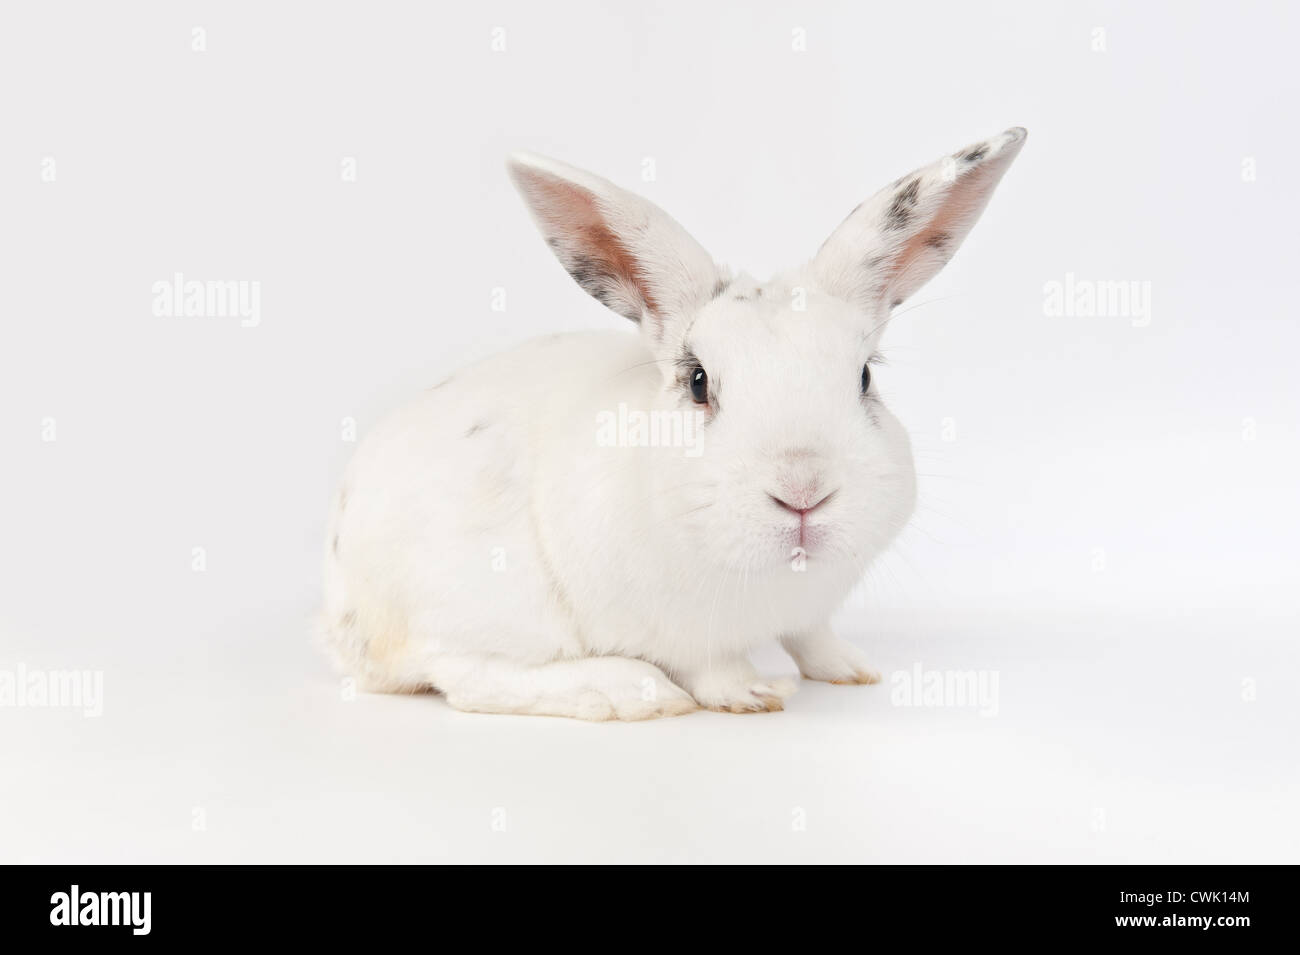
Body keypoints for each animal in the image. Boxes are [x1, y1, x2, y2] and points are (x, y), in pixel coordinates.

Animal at [319, 127, 1026, 720]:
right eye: (698, 382)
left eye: (864, 378)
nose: (802, 492)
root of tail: (346, 613)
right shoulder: (681, 632)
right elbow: (713, 668)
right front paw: (753, 694)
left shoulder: (811, 615)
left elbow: (814, 637)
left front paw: (852, 670)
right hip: (481, 606)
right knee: (467, 677)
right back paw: (627, 691)